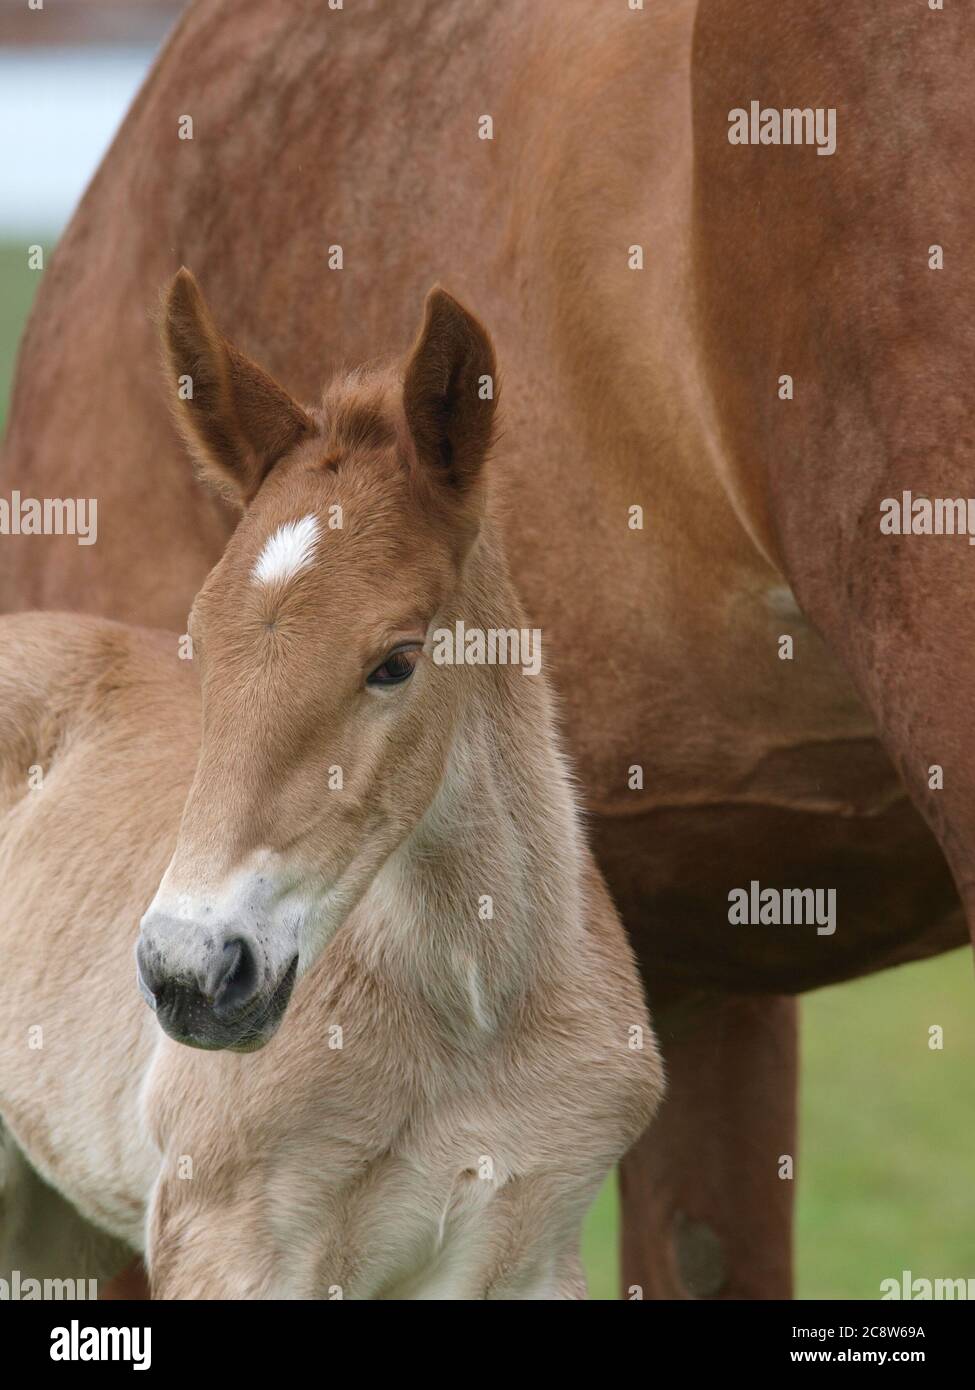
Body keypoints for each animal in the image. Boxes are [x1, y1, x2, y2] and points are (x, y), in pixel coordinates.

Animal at [0, 273, 661, 1298]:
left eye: (396, 660)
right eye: (200, 641)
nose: (190, 973)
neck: (468, 1019)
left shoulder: (531, 1243)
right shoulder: (226, 1242)